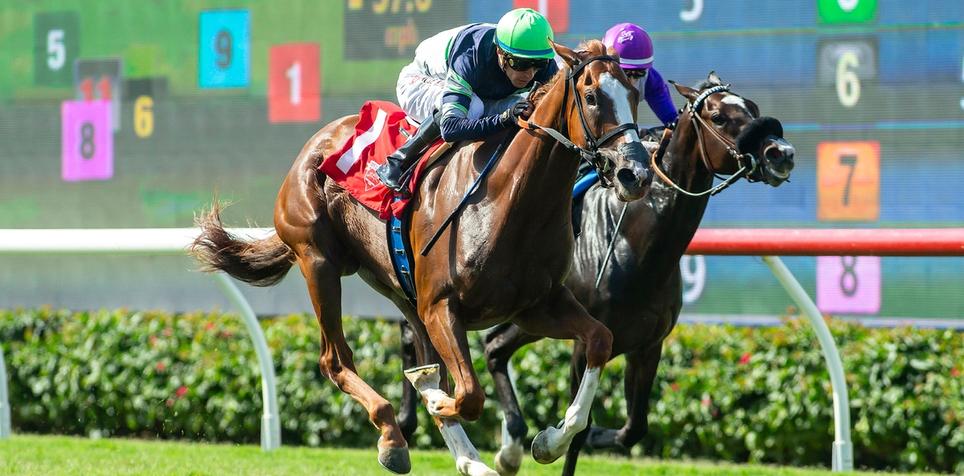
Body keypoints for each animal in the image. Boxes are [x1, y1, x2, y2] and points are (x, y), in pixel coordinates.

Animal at [191, 40, 652, 476]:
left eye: (634, 93)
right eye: (591, 96)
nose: (636, 174)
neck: (509, 201)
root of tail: (316, 141)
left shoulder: (535, 305)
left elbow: (599, 340)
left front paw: (549, 441)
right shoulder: (443, 305)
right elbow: (468, 395)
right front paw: (437, 402)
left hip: (400, 289)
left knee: (423, 357)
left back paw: (470, 458)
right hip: (319, 262)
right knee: (335, 360)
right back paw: (394, 437)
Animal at [397, 72, 796, 475]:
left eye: (753, 108)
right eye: (719, 117)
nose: (780, 152)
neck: (636, 243)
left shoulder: (647, 345)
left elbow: (634, 428)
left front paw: (584, 437)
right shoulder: (582, 341)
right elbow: (581, 427)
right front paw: (560, 439)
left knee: (494, 347)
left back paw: (508, 448)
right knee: (420, 336)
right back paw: (410, 419)